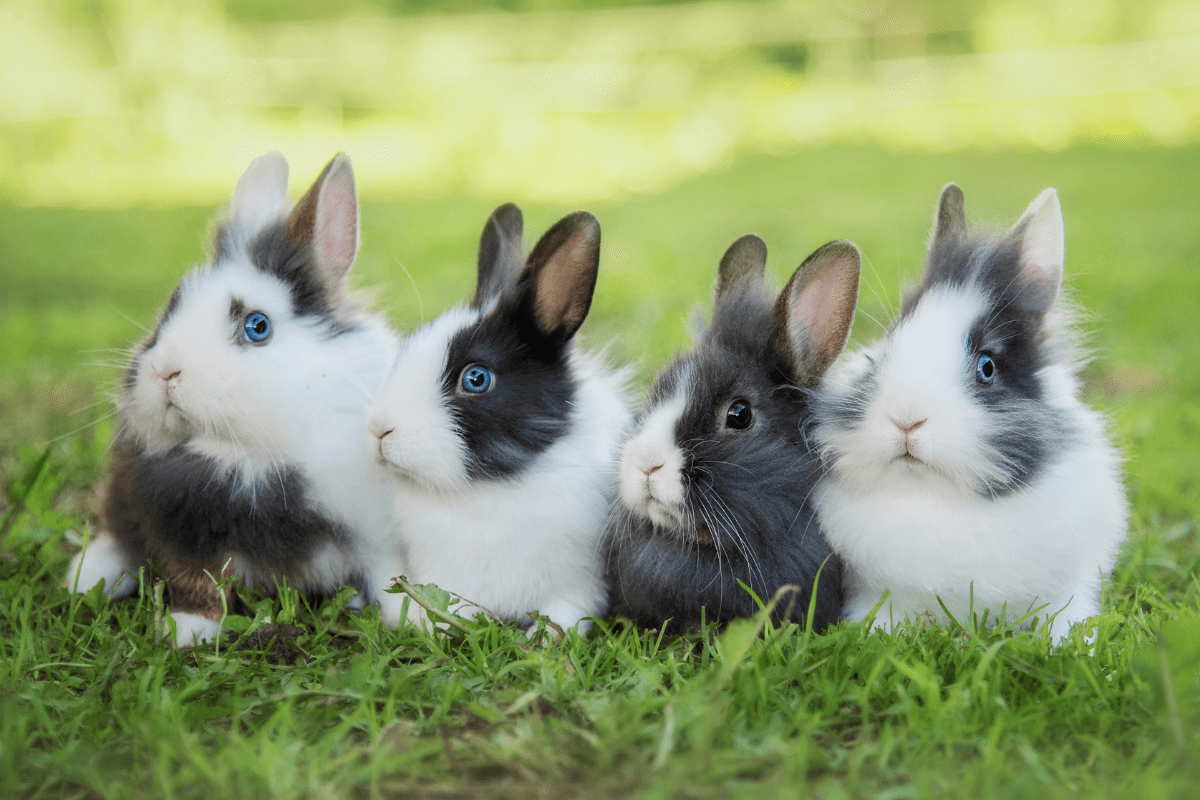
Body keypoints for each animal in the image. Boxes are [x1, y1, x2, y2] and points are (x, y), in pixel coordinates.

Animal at [63, 152, 405, 647]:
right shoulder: (182, 523)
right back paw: (88, 574)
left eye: (256, 326)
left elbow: (391, 576)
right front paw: (187, 630)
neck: (249, 455)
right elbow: (198, 579)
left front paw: (419, 619)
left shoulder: (377, 527)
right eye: (169, 310)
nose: (165, 371)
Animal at [365, 203, 635, 634]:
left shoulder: (578, 590)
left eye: (476, 379)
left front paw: (543, 642)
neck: (490, 488)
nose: (379, 429)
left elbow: (562, 620)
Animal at [812, 184, 1128, 644]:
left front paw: (1072, 648)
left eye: (987, 367)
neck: (934, 498)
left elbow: (1068, 620)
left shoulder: (1070, 585)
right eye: (885, 350)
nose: (906, 417)